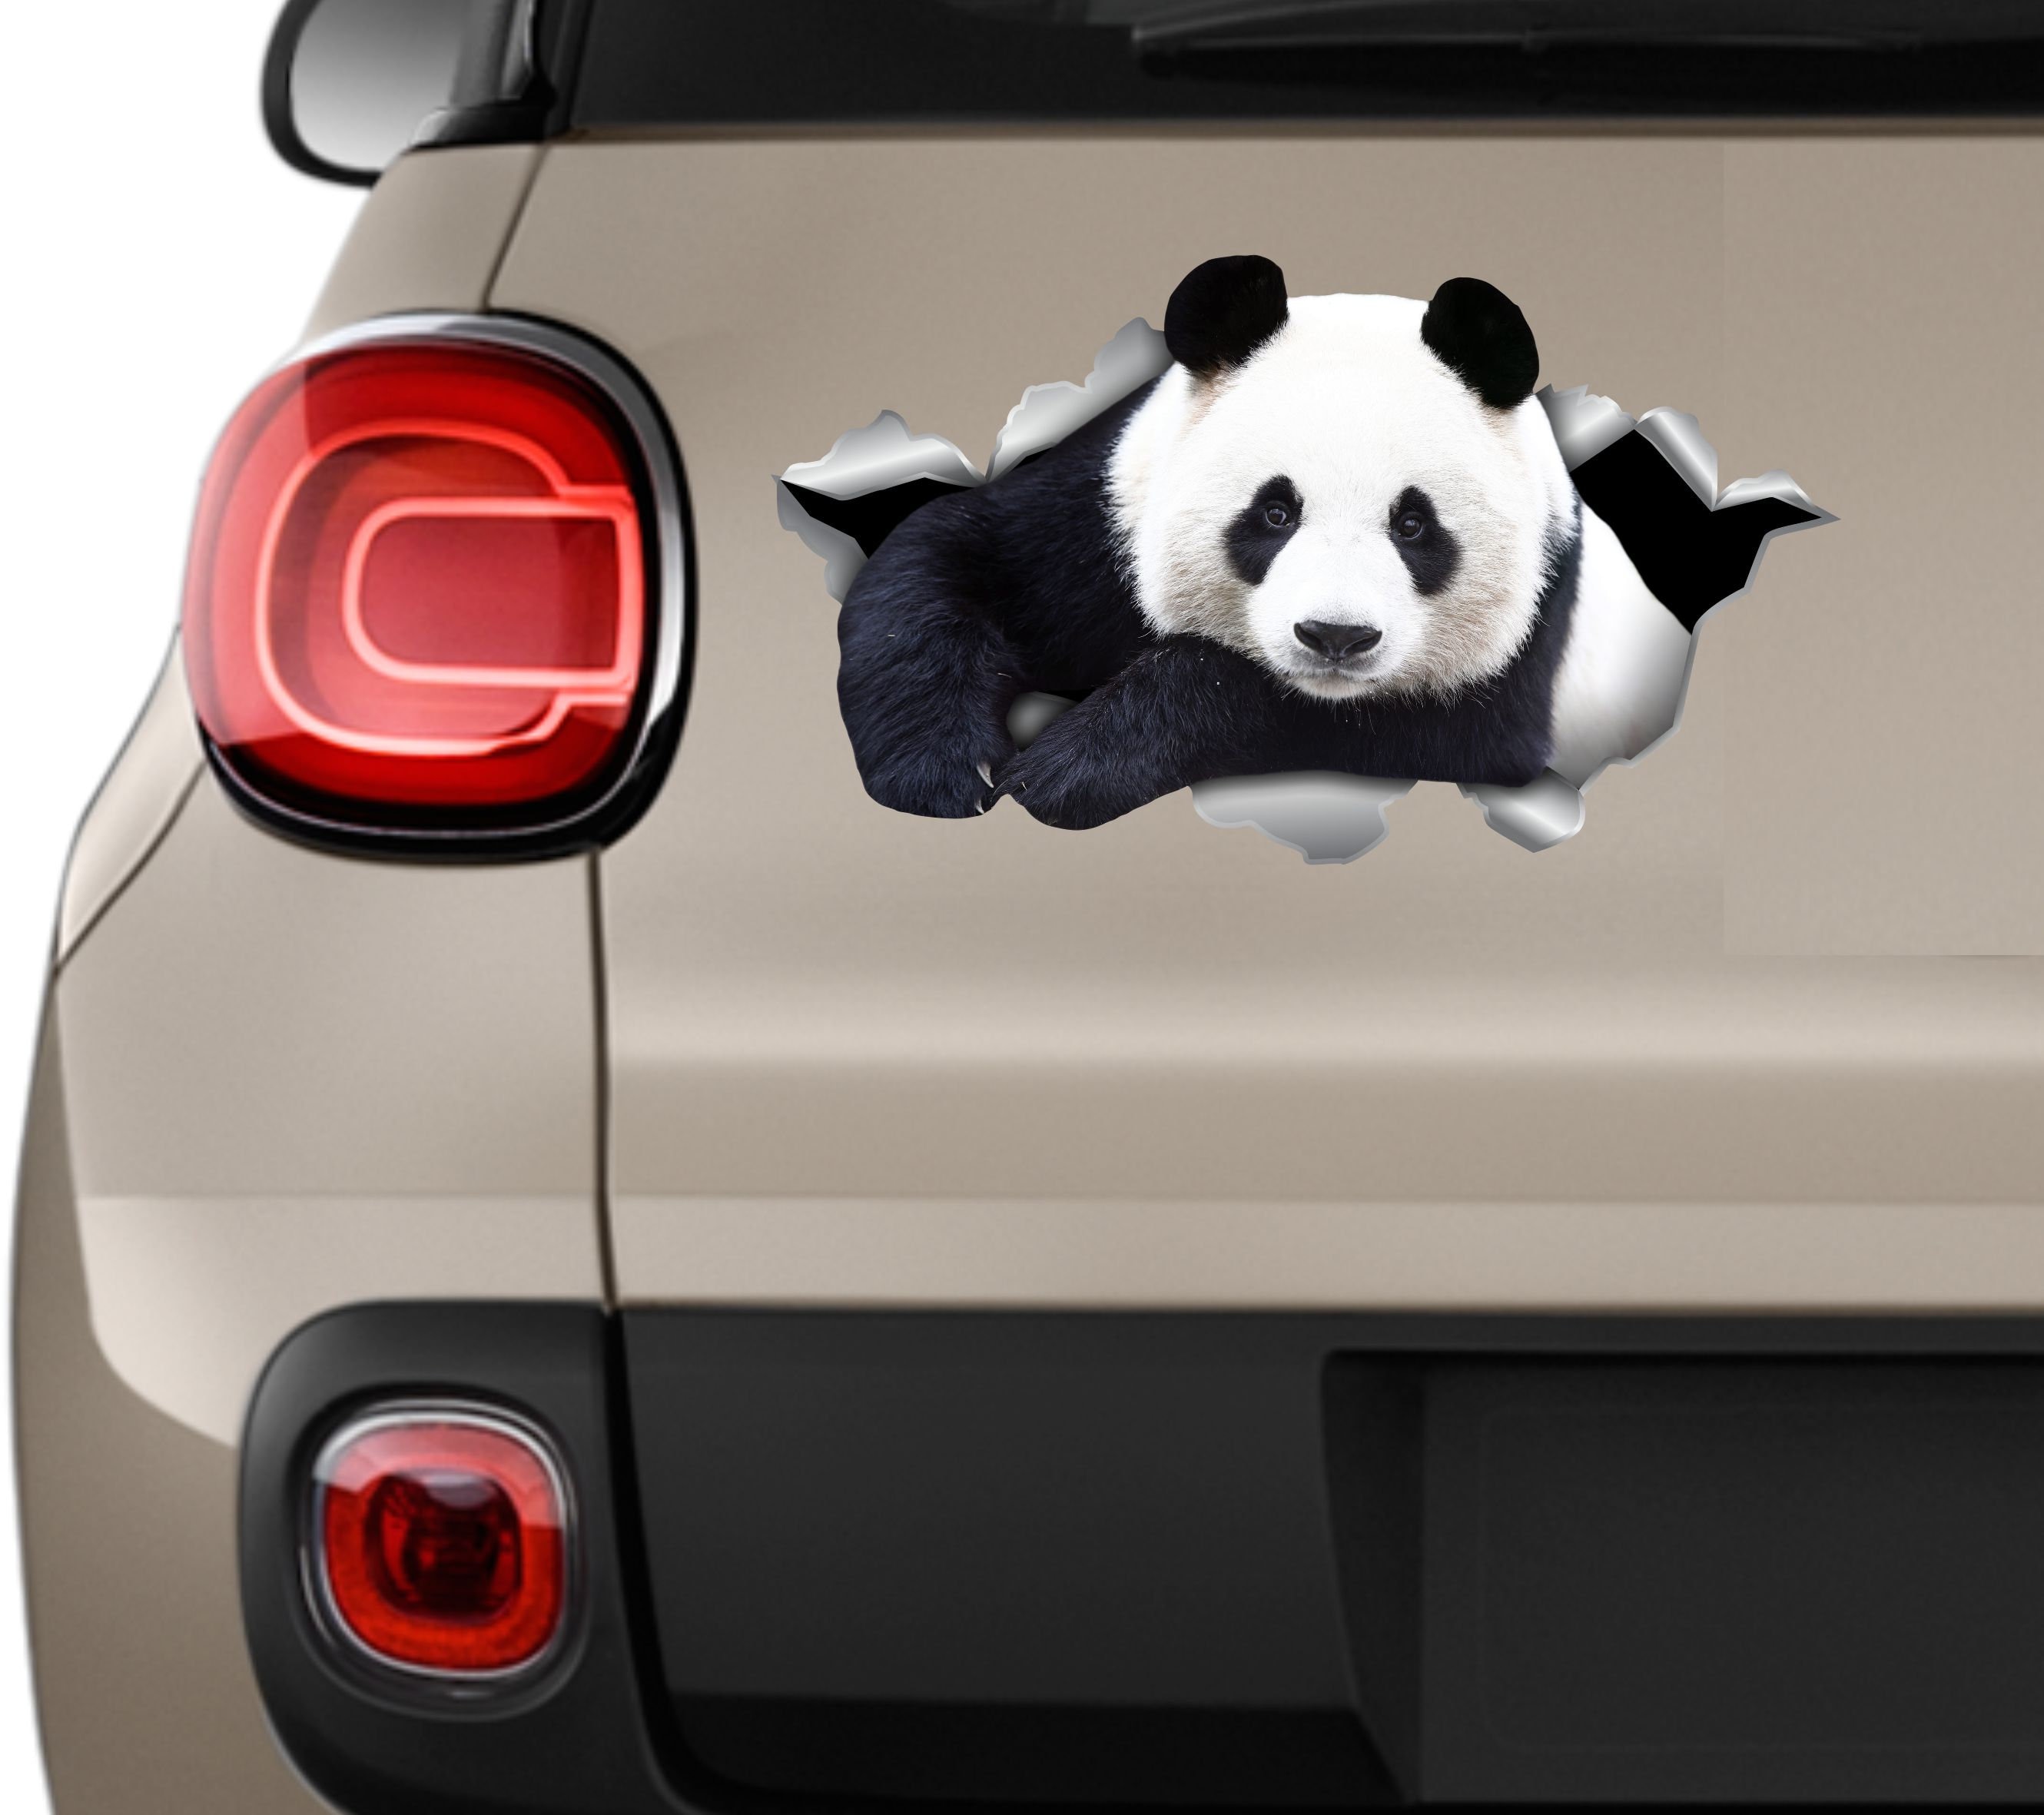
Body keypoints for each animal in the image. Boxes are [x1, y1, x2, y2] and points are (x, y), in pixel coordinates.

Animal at [836, 255, 1689, 830]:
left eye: (1413, 525)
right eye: (1275, 514)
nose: (1335, 637)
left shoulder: (1520, 652)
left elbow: (1361, 724)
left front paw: (1064, 771)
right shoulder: (1099, 523)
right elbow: (941, 561)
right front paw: (945, 769)